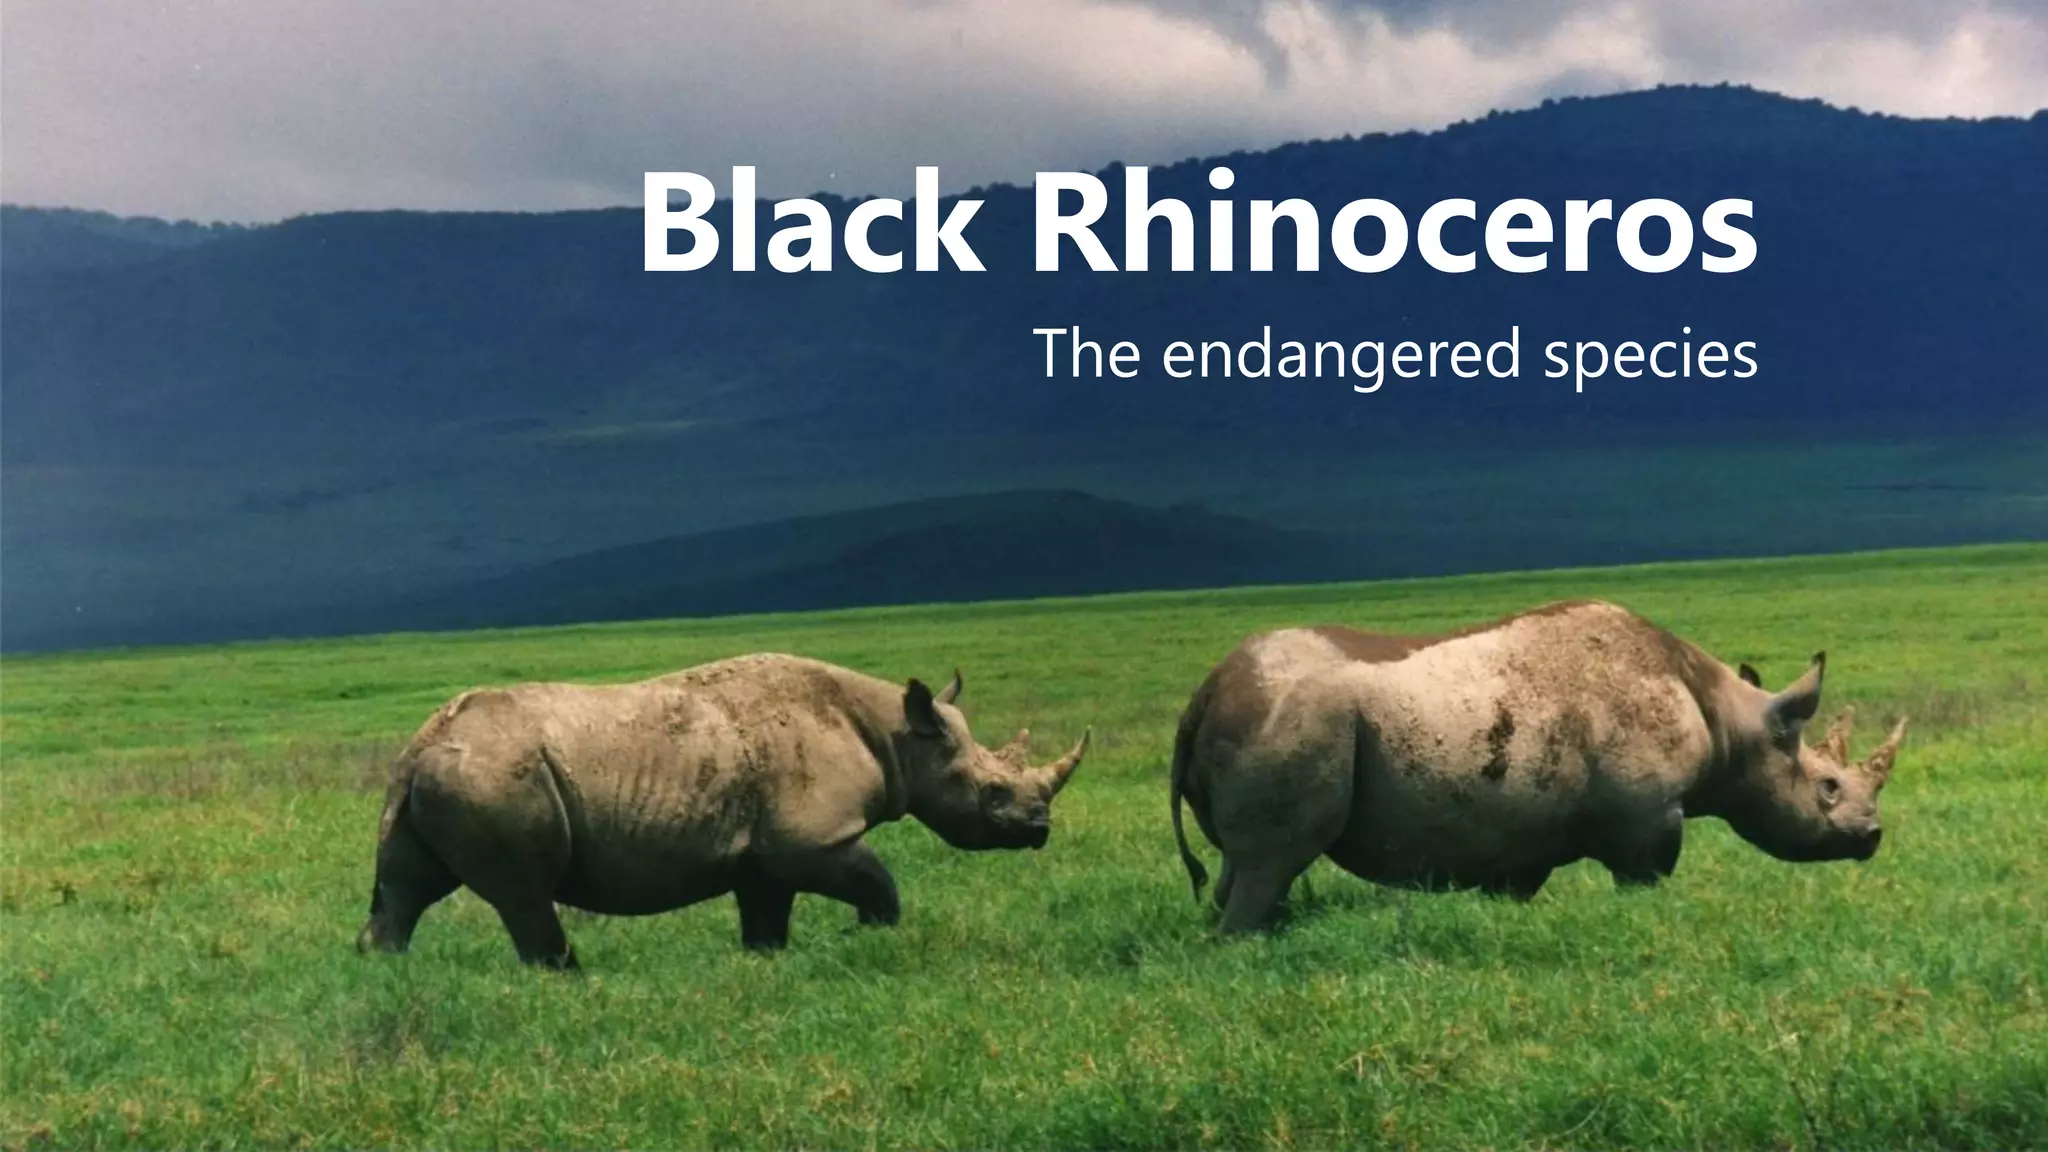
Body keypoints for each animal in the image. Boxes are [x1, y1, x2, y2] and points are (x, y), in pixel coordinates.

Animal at [356, 654, 1088, 966]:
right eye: (992, 793)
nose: (1040, 829)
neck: (900, 736)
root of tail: (418, 746)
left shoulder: (763, 854)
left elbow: (765, 917)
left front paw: (769, 962)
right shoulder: (812, 838)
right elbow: (878, 883)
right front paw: (865, 936)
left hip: (444, 778)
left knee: (406, 889)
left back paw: (386, 973)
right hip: (494, 775)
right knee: (524, 894)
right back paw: (570, 978)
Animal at [1169, 600, 1908, 931]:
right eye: (1828, 787)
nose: (1872, 837)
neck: (1735, 722)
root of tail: (1205, 691)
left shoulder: (1519, 832)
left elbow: (1513, 885)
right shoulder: (1646, 816)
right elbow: (1645, 877)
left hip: (1270, 714)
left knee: (1244, 865)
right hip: (1292, 715)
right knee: (1271, 863)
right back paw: (1247, 941)